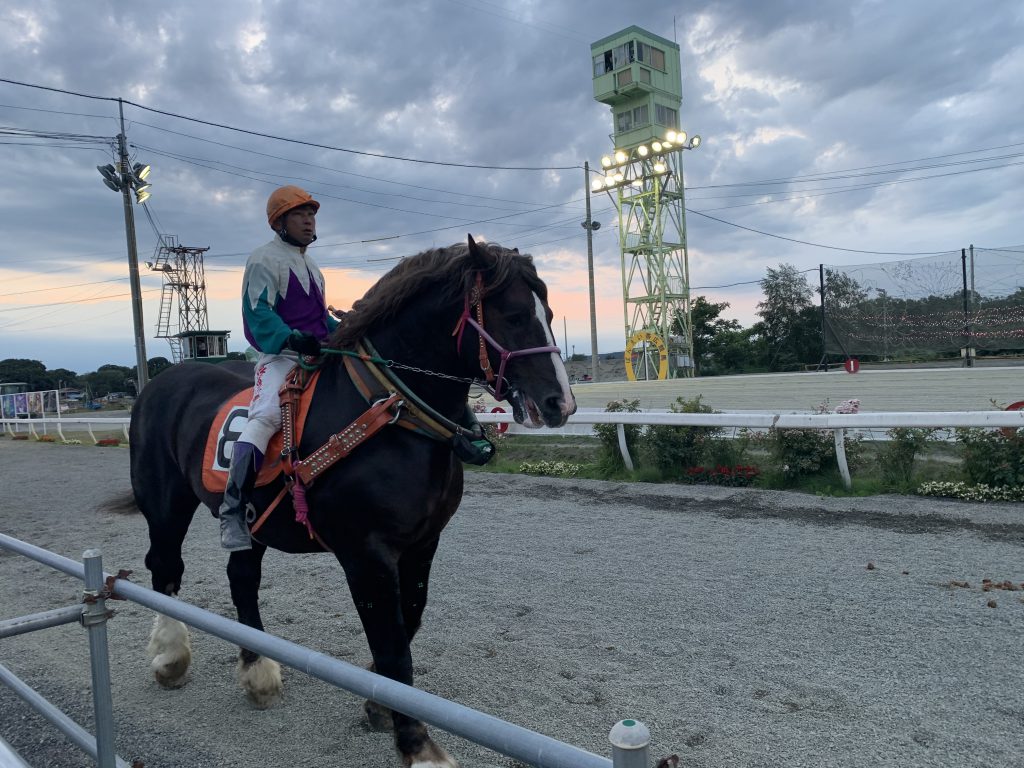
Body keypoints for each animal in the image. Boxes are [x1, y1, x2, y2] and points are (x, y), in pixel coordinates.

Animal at [124, 236, 576, 768]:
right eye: (512, 314)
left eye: (549, 312)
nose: (561, 403)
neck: (389, 414)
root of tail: (161, 382)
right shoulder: (366, 554)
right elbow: (393, 646)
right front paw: (418, 745)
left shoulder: (422, 543)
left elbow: (408, 621)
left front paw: (380, 705)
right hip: (165, 503)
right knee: (165, 569)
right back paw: (172, 656)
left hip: (250, 524)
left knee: (242, 578)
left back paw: (258, 671)